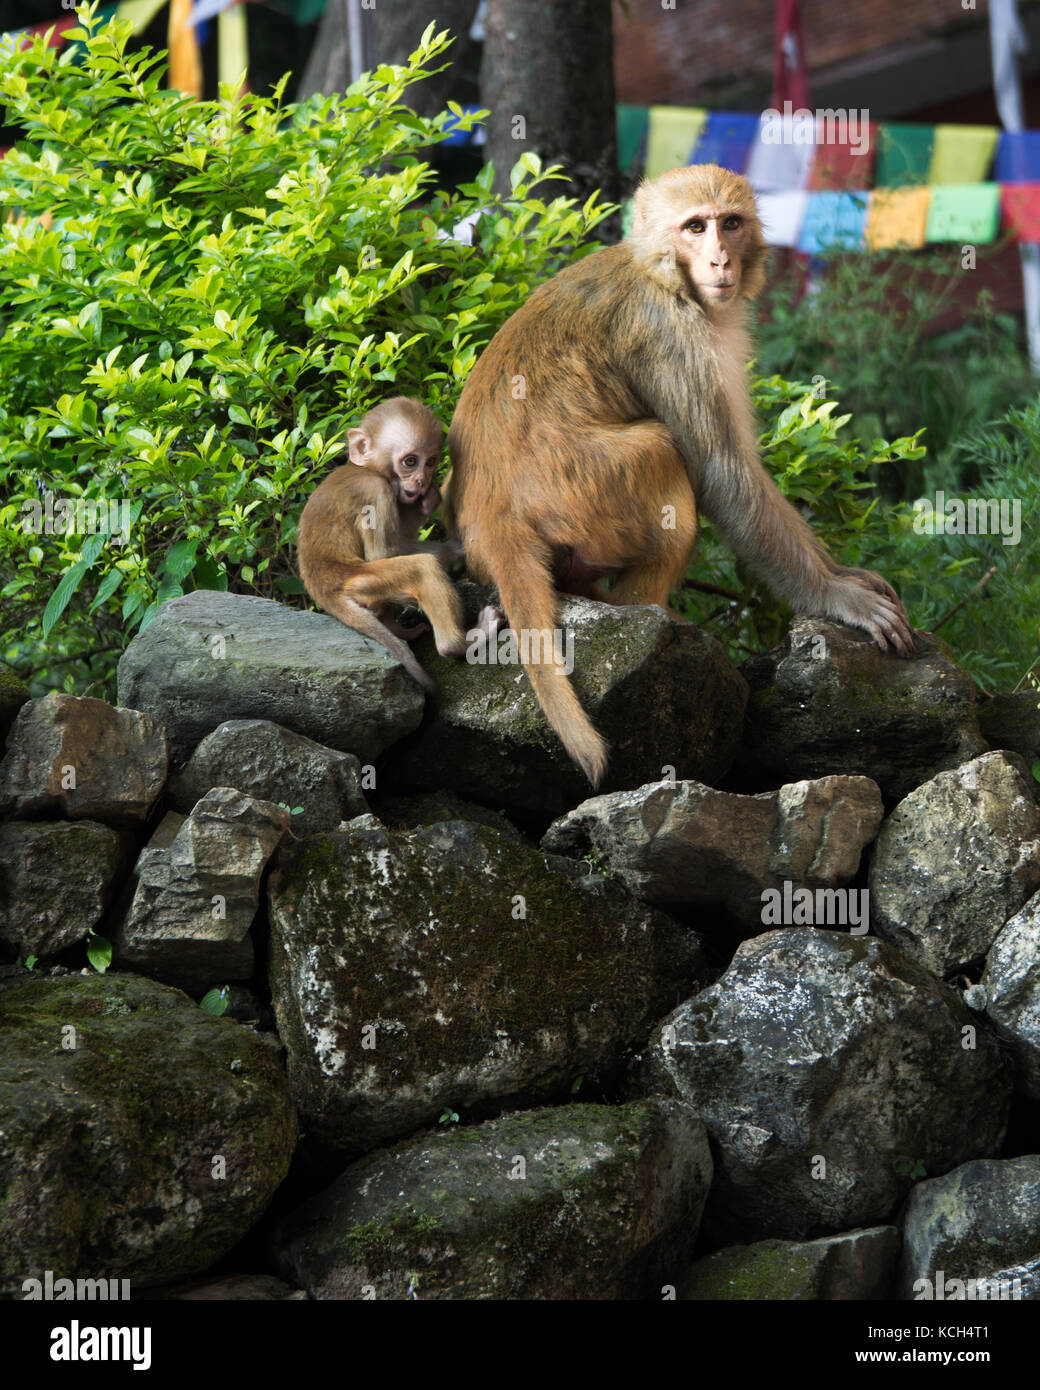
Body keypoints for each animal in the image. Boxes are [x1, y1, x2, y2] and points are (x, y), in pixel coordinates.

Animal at [297, 396, 474, 693]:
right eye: (410, 461)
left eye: (431, 462)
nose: (421, 480)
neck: (365, 468)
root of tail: (322, 591)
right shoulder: (375, 490)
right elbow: (384, 552)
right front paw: (454, 549)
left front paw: (427, 500)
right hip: (361, 582)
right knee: (422, 567)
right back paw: (459, 644)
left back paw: (400, 630)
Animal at [445, 164, 914, 787]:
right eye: (695, 227)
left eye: (730, 223)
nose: (720, 260)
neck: (661, 268)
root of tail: (495, 520)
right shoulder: (674, 335)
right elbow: (721, 471)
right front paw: (834, 594)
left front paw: (845, 573)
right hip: (587, 495)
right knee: (663, 451)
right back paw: (645, 609)